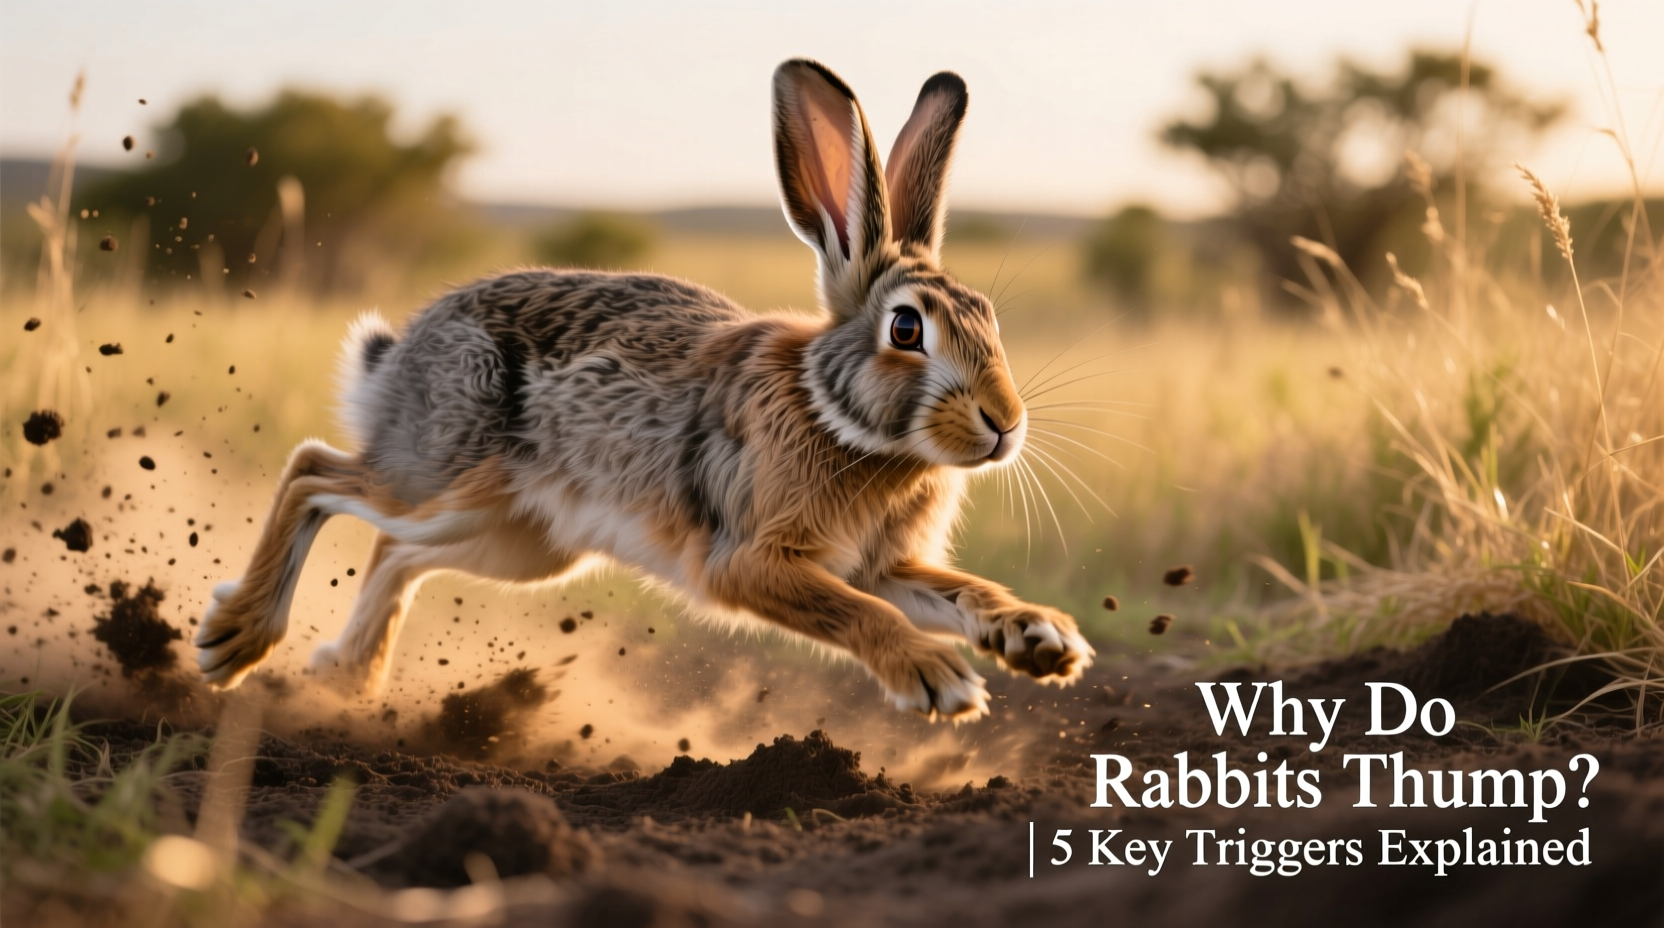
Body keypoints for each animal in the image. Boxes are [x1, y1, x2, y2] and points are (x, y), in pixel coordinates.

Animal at [193, 58, 1094, 721]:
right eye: (907, 329)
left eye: (989, 319)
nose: (1004, 424)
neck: (839, 416)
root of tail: (400, 356)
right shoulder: (752, 560)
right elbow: (861, 613)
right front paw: (937, 675)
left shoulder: (881, 563)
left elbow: (952, 590)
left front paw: (1041, 638)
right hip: (439, 477)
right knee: (316, 473)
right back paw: (236, 639)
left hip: (518, 540)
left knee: (396, 552)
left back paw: (347, 677)